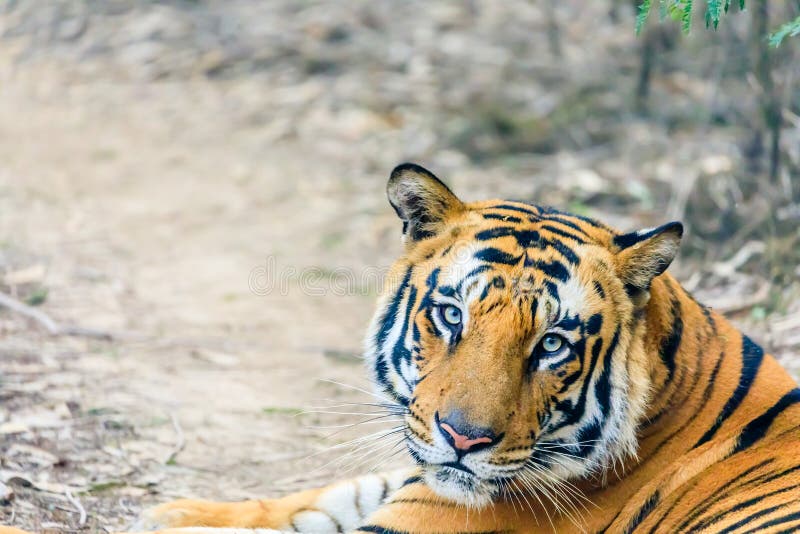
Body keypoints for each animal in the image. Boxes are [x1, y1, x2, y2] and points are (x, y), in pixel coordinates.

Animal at [70, 164, 800, 532]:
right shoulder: (417, 474)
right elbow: (333, 494)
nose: (463, 440)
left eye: (552, 344)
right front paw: (180, 513)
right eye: (451, 315)